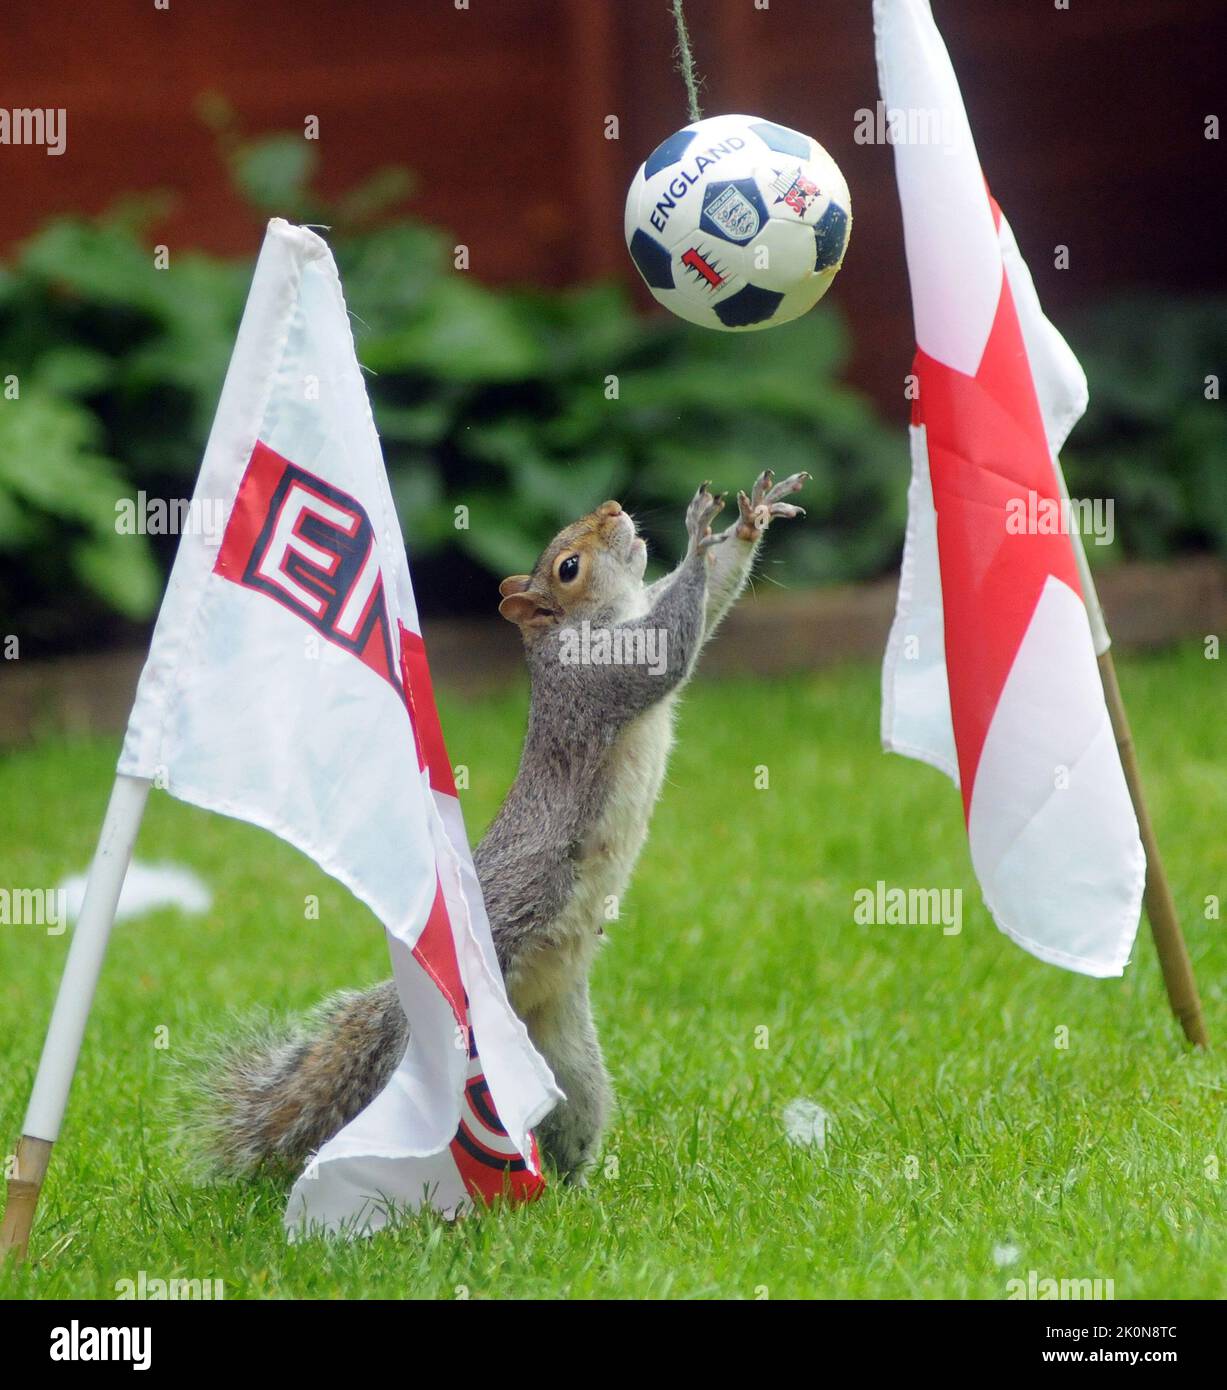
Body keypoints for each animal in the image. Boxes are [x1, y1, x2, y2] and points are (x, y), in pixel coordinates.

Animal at [186, 470, 806, 1184]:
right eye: (568, 567)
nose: (614, 508)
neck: (599, 618)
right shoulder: (598, 677)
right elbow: (674, 643)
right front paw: (700, 535)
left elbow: (713, 602)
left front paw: (750, 520)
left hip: (566, 1052)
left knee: (570, 1115)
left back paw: (576, 1186)